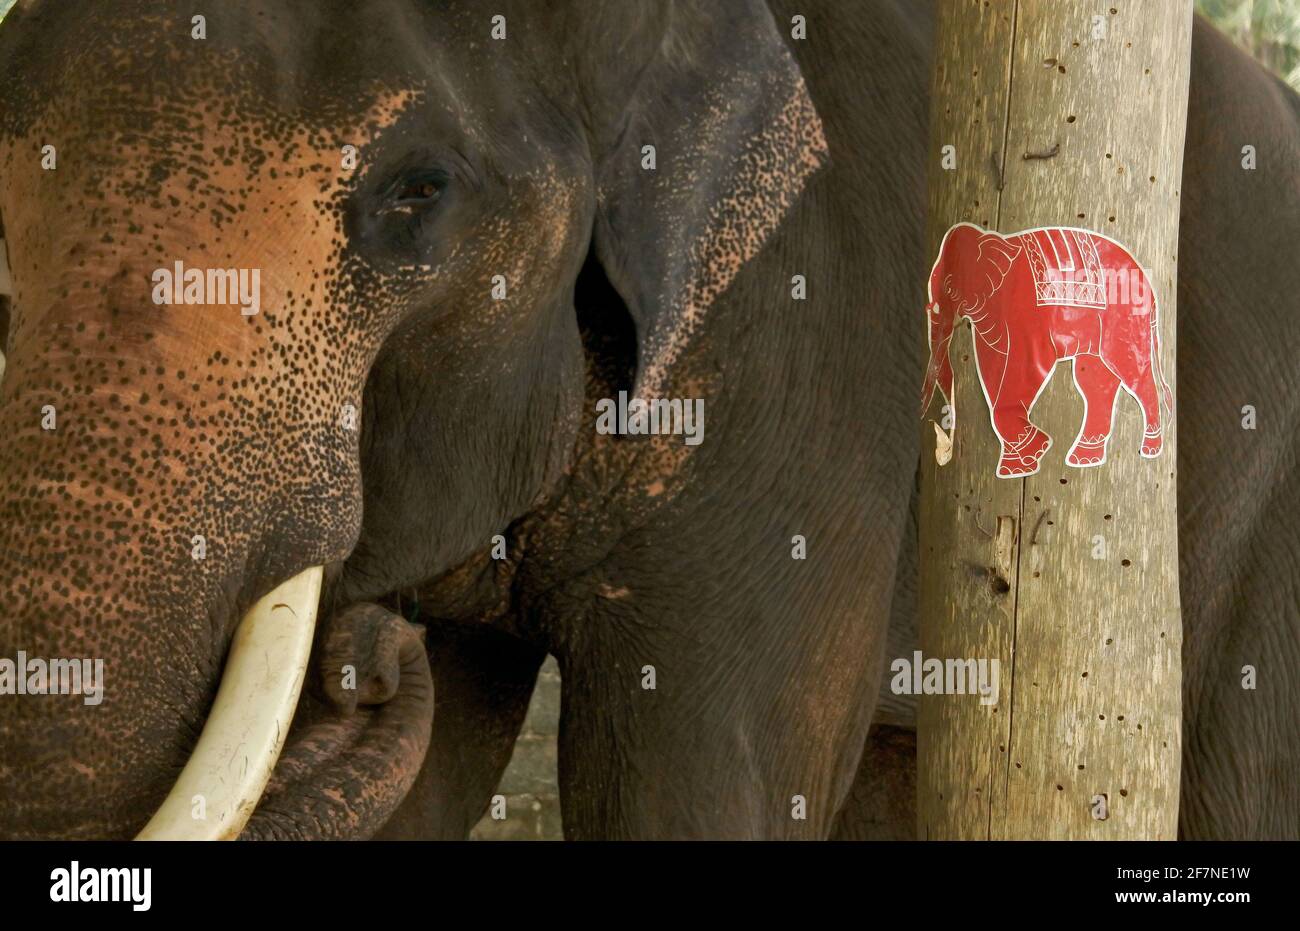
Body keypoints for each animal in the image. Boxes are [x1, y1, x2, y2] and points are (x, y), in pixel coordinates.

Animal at [922, 223, 1173, 478]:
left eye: (950, 288)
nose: (945, 451)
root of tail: (1150, 289)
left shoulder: (1025, 312)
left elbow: (1025, 366)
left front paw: (1037, 449)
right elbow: (991, 369)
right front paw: (1017, 467)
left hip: (1125, 319)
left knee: (1131, 372)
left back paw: (1150, 449)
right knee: (1094, 381)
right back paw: (1085, 458)